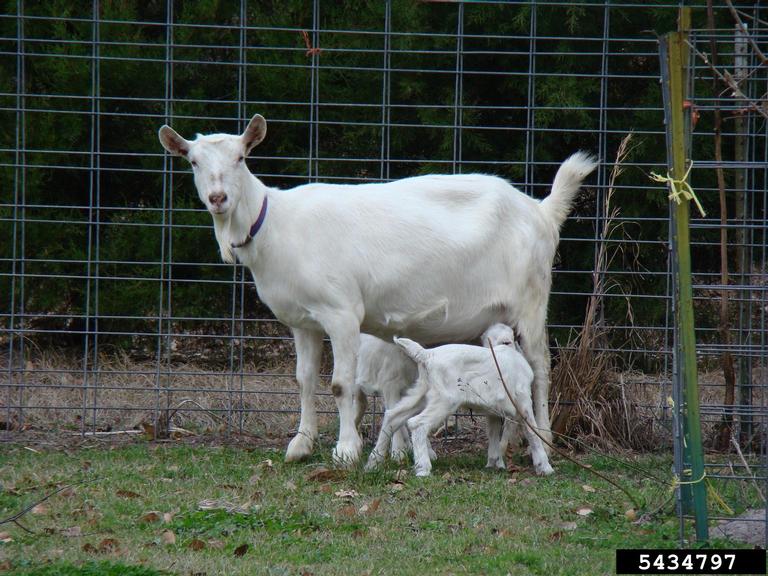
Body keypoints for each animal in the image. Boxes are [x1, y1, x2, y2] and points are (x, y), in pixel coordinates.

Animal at [367, 328, 554, 477]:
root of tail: (426, 355)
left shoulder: (493, 410)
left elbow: (493, 433)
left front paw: (495, 464)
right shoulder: (523, 402)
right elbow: (533, 434)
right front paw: (544, 467)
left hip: (421, 393)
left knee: (393, 416)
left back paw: (373, 463)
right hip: (445, 399)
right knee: (417, 423)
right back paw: (423, 469)